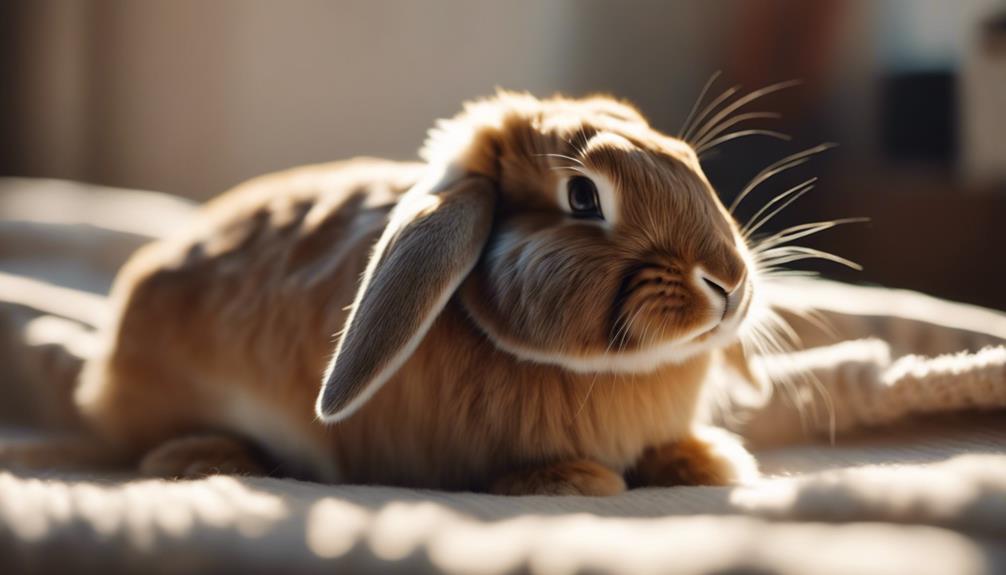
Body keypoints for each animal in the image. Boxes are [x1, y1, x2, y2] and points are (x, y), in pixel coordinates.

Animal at [61, 91, 761, 495]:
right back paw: (210, 457)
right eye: (584, 197)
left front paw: (710, 463)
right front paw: (576, 481)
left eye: (685, 158)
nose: (729, 284)